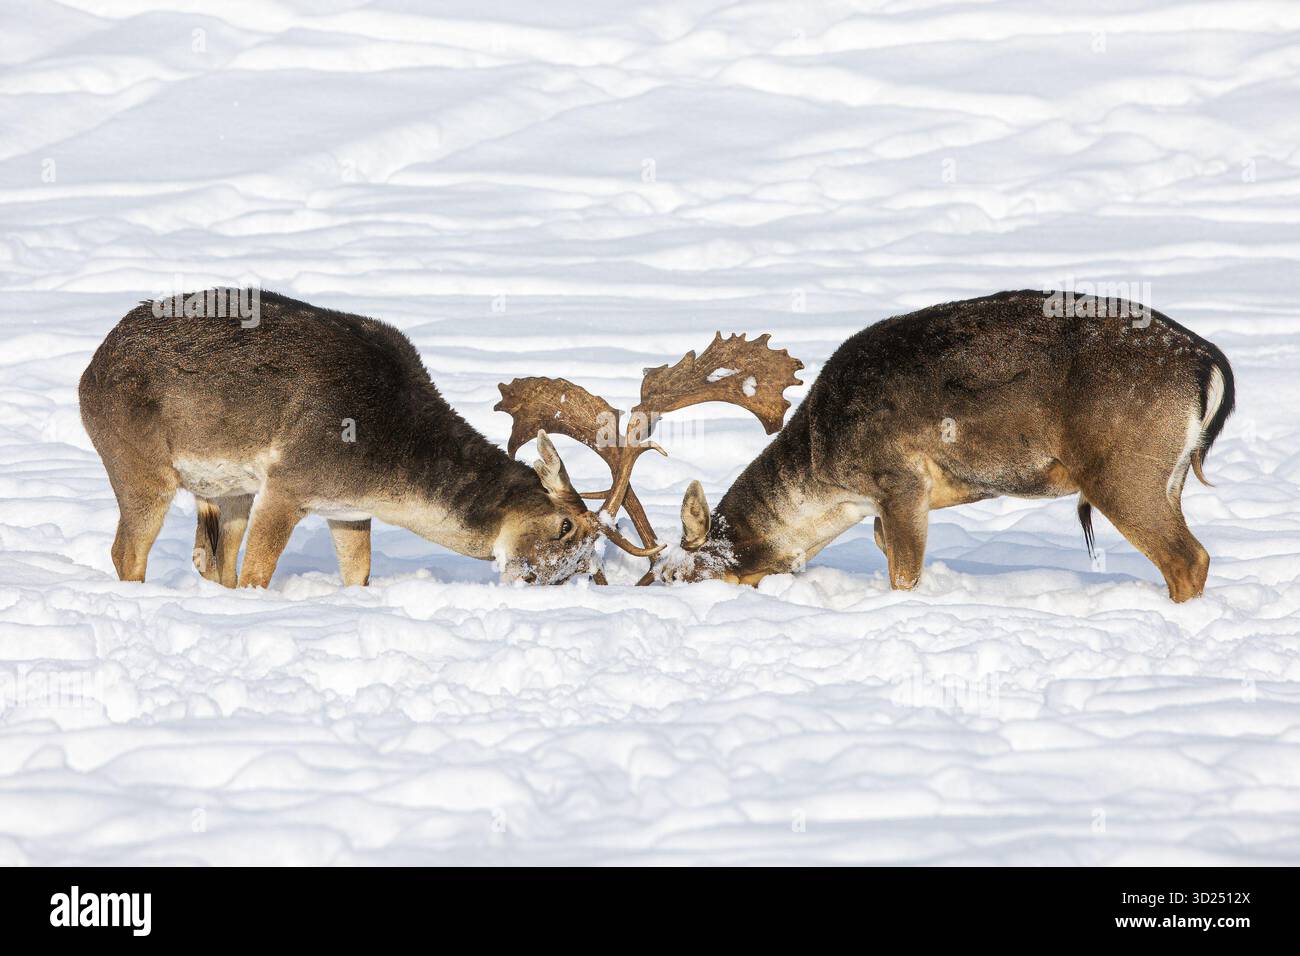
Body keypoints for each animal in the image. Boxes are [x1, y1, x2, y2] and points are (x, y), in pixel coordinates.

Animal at [78, 289, 662, 589]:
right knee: (126, 552)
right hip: (138, 464)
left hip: (228, 491)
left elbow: (358, 572)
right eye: (566, 528)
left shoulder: (348, 509)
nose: (544, 581)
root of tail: (90, 371)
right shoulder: (288, 483)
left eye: (587, 559)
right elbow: (257, 576)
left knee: (213, 562)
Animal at [651, 290, 1235, 603]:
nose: (641, 589)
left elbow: (905, 575)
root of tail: (1208, 363)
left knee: (1189, 558)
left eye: (675, 574)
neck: (828, 477)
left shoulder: (901, 478)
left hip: (1123, 470)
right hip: (1171, 474)